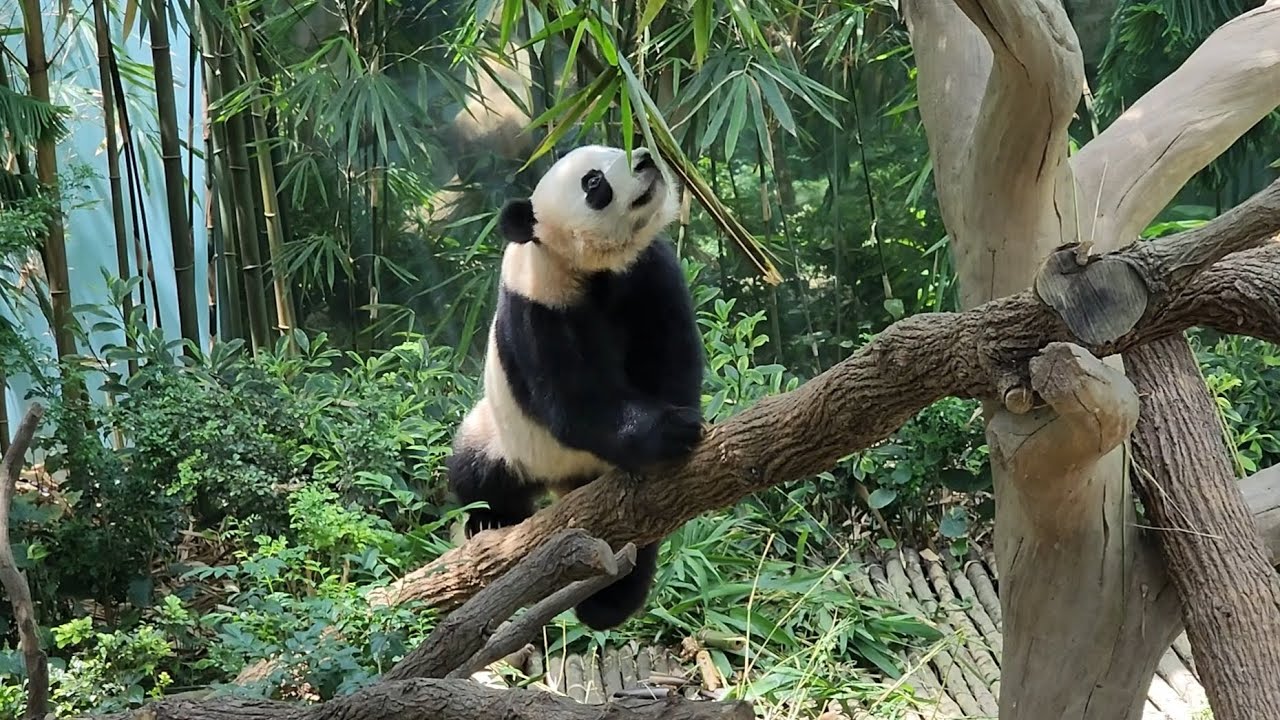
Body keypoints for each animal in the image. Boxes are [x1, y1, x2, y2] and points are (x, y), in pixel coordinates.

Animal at [446, 142, 706, 631]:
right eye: (593, 182)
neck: (595, 268)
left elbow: (673, 359)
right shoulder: (538, 303)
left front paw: (682, 423)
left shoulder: (649, 271)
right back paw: (491, 523)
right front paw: (667, 432)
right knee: (473, 470)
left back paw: (610, 600)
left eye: (618, 145)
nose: (646, 157)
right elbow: (573, 402)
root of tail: (565, 481)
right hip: (504, 435)